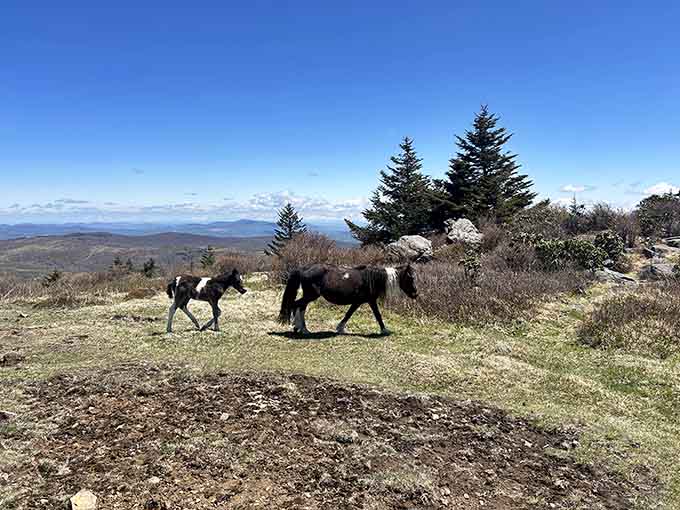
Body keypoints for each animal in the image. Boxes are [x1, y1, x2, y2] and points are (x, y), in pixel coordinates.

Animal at [278, 263, 417, 336]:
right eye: (410, 278)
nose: (415, 294)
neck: (371, 279)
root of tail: (303, 269)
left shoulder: (360, 302)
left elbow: (349, 314)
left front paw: (340, 328)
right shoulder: (367, 301)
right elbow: (377, 315)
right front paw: (384, 330)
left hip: (308, 296)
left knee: (300, 307)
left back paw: (302, 329)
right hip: (311, 295)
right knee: (295, 305)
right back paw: (300, 328)